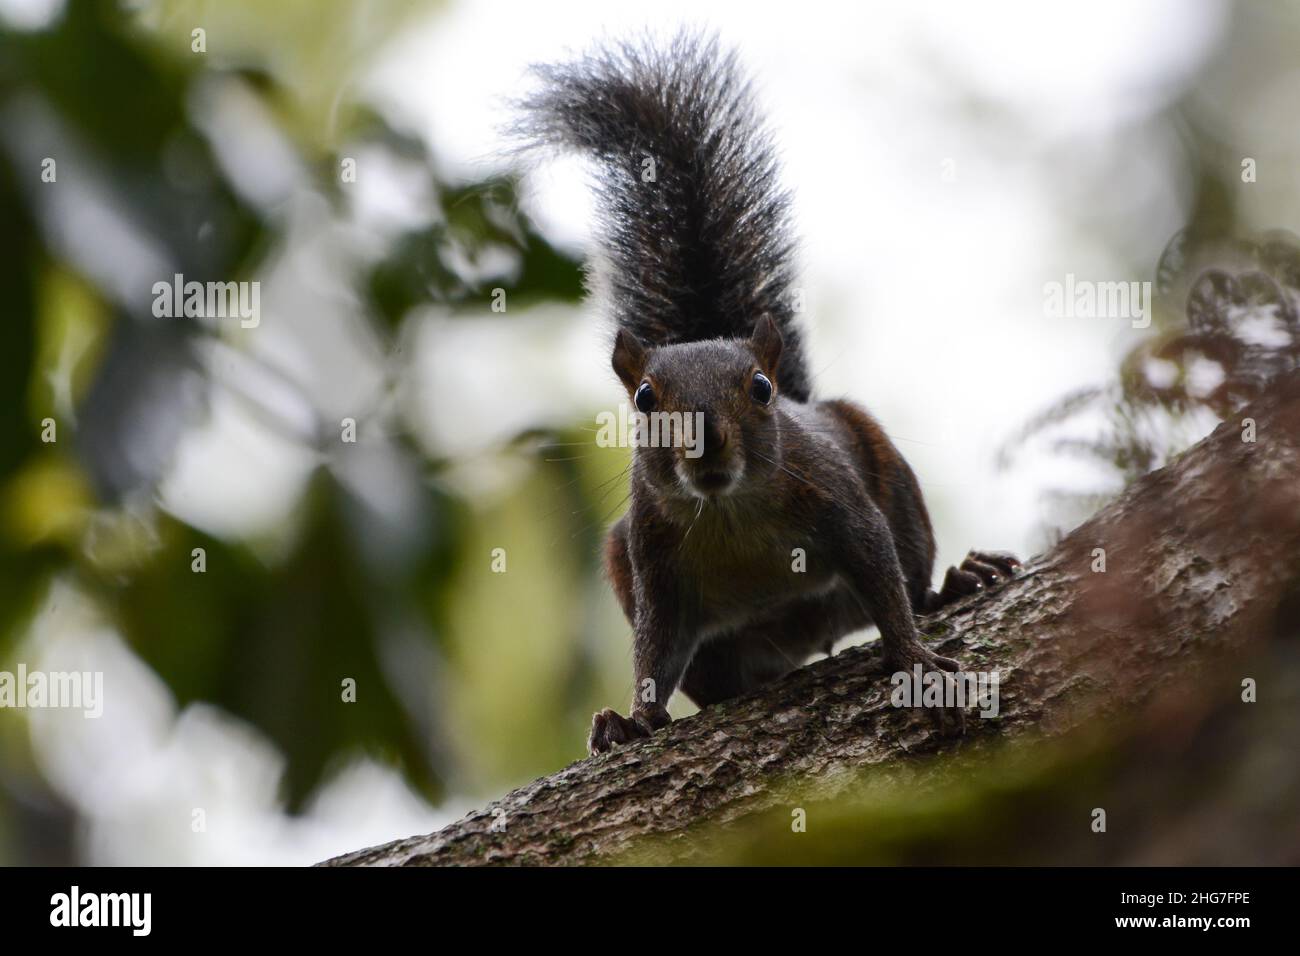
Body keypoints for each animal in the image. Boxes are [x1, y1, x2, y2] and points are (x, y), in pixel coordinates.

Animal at [518, 31, 1020, 755]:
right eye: (643, 399)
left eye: (759, 388)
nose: (705, 439)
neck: (728, 511)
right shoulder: (652, 558)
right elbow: (655, 647)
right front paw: (632, 718)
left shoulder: (838, 497)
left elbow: (882, 573)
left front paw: (918, 661)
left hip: (882, 464)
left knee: (913, 576)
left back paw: (958, 582)